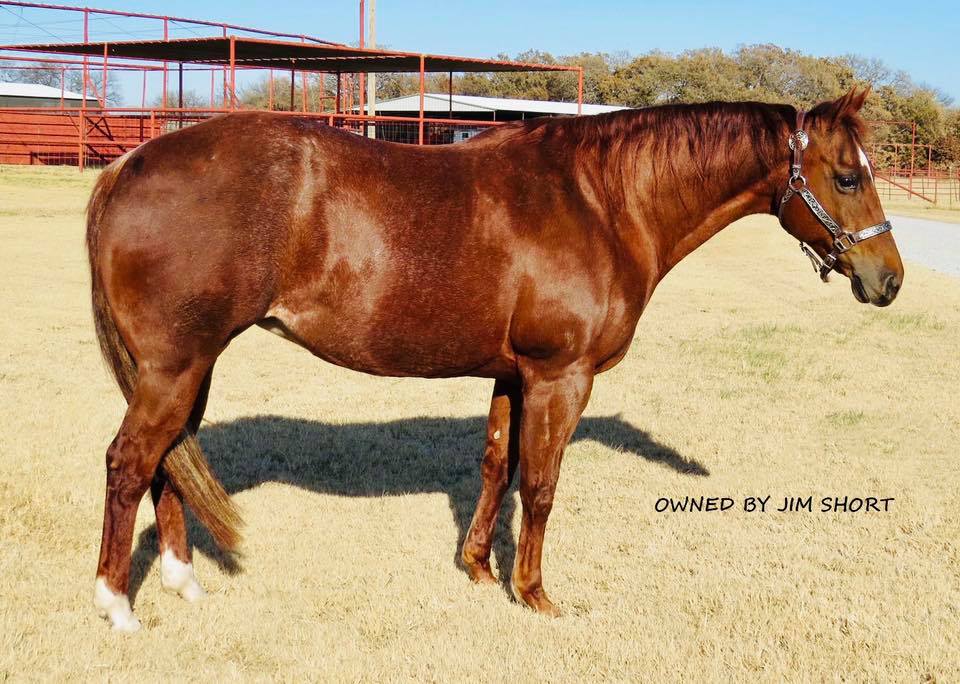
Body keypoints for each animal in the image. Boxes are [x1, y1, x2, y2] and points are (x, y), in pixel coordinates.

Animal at [86, 88, 902, 631]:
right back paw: (116, 604)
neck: (602, 203)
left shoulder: (512, 376)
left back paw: (183, 582)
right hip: (174, 367)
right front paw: (536, 594)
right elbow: (540, 486)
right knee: (130, 462)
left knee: (170, 461)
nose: (888, 280)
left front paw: (479, 569)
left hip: (189, 368)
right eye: (848, 176)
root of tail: (128, 165)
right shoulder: (560, 377)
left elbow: (495, 467)